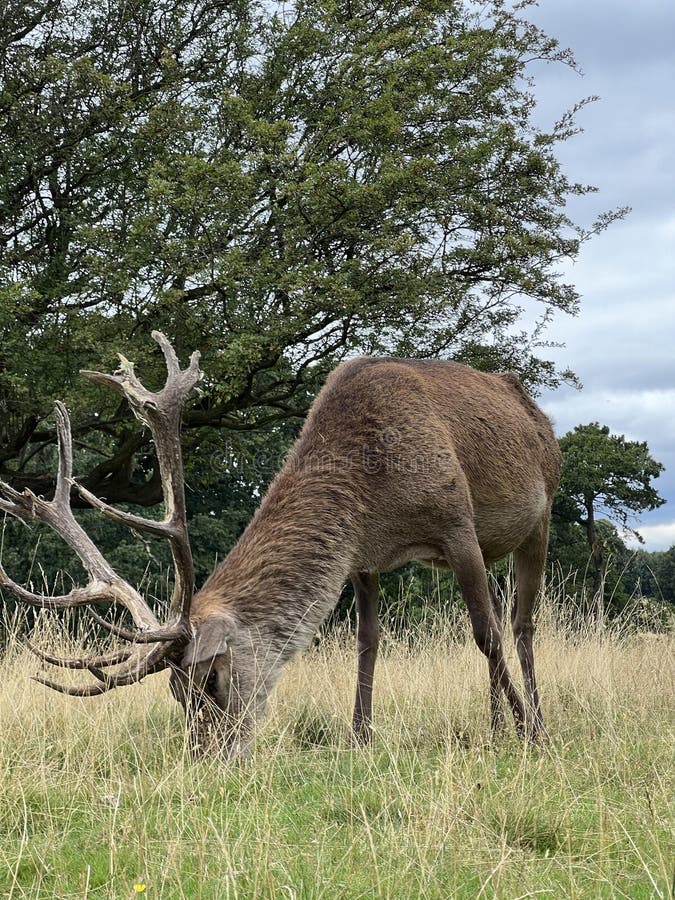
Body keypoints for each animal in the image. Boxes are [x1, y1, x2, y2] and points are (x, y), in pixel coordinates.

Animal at [0, 332, 561, 759]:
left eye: (212, 680)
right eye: (175, 692)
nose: (208, 758)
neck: (372, 487)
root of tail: (534, 409)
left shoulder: (455, 524)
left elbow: (485, 634)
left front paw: (528, 732)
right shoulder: (363, 558)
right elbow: (368, 642)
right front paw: (359, 738)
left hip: (540, 515)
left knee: (518, 623)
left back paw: (530, 723)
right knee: (501, 616)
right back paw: (495, 723)